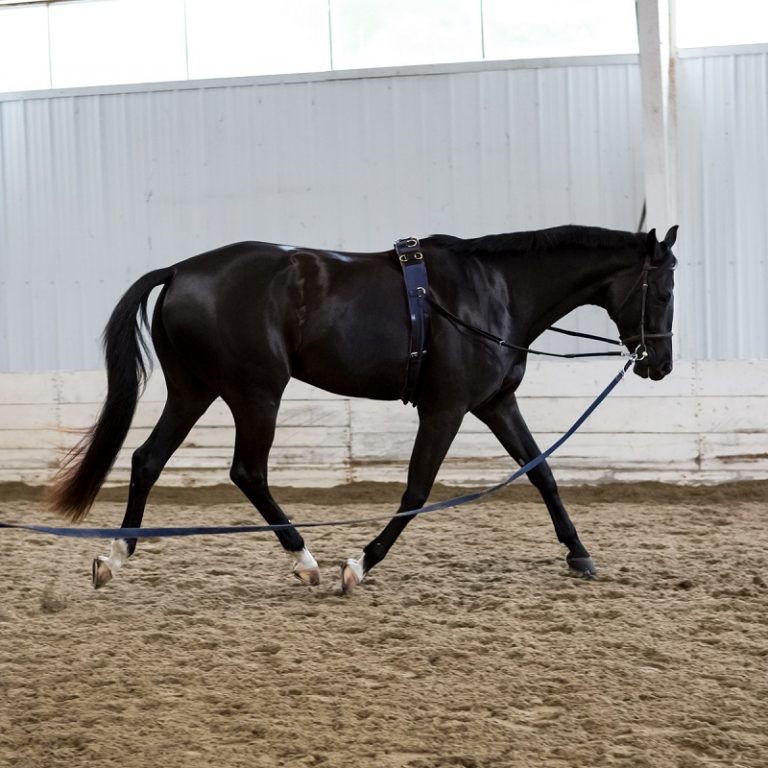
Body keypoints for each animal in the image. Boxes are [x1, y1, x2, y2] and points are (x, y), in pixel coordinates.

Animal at [48, 224, 678, 591]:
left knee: (147, 460)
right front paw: (360, 563)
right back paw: (305, 560)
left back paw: (116, 557)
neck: (492, 291)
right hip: (256, 392)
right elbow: (417, 490)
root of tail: (179, 271)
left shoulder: (496, 403)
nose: (660, 363)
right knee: (247, 471)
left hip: (194, 390)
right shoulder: (445, 408)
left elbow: (543, 473)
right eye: (667, 290)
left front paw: (580, 555)